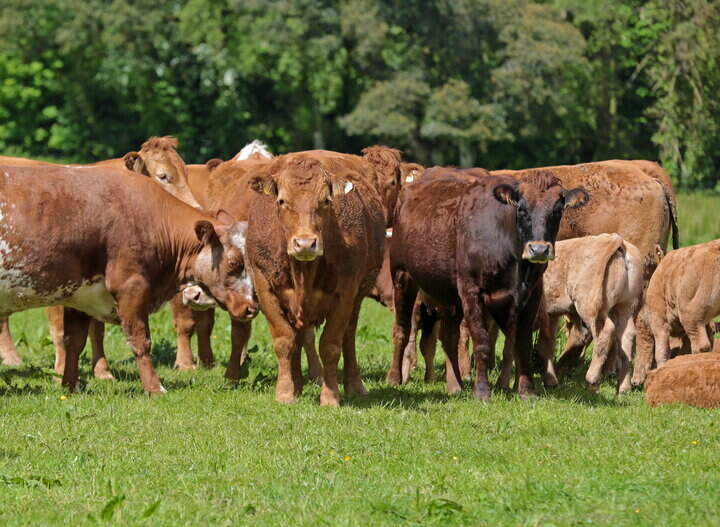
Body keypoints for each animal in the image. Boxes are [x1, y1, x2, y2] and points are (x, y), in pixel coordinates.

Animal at [0, 165, 255, 393]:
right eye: (235, 262)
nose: (251, 307)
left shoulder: (80, 294)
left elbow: (74, 341)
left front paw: (70, 386)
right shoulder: (131, 286)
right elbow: (140, 341)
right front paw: (155, 388)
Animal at [245, 150, 385, 406]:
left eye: (326, 201)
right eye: (282, 201)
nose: (305, 243)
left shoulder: (346, 291)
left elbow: (330, 345)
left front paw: (330, 397)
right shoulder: (263, 285)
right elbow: (284, 341)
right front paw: (285, 392)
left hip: (358, 297)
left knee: (348, 336)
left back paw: (355, 385)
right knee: (299, 336)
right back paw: (297, 385)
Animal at [388, 167, 589, 399]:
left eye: (557, 210)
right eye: (521, 209)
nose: (539, 250)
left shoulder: (532, 293)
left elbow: (522, 342)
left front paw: (527, 390)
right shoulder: (472, 290)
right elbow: (482, 340)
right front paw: (482, 390)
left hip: (449, 292)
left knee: (449, 336)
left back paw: (455, 385)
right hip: (403, 277)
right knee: (402, 328)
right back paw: (395, 378)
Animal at [534, 234, 643, 393]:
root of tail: (616, 240)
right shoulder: (551, 313)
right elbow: (546, 345)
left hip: (589, 305)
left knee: (605, 332)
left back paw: (592, 379)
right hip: (624, 306)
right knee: (626, 336)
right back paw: (623, 387)